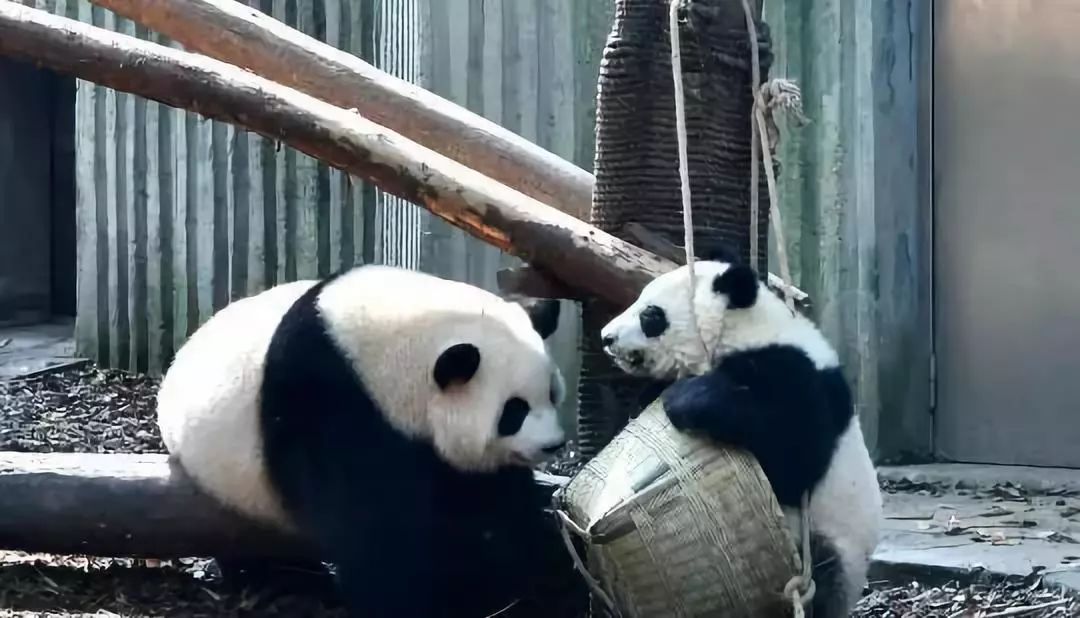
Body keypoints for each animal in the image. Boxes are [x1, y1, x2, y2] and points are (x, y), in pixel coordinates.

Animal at [156, 264, 571, 618]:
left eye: (553, 394)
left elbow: (493, 503)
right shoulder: (329, 403)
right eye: (513, 411)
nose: (552, 444)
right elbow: (377, 531)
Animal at [598, 251, 882, 618]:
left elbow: (792, 459)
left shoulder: (797, 377)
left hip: (832, 541)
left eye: (650, 315)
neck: (745, 329)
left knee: (824, 571)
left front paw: (685, 398)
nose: (606, 337)